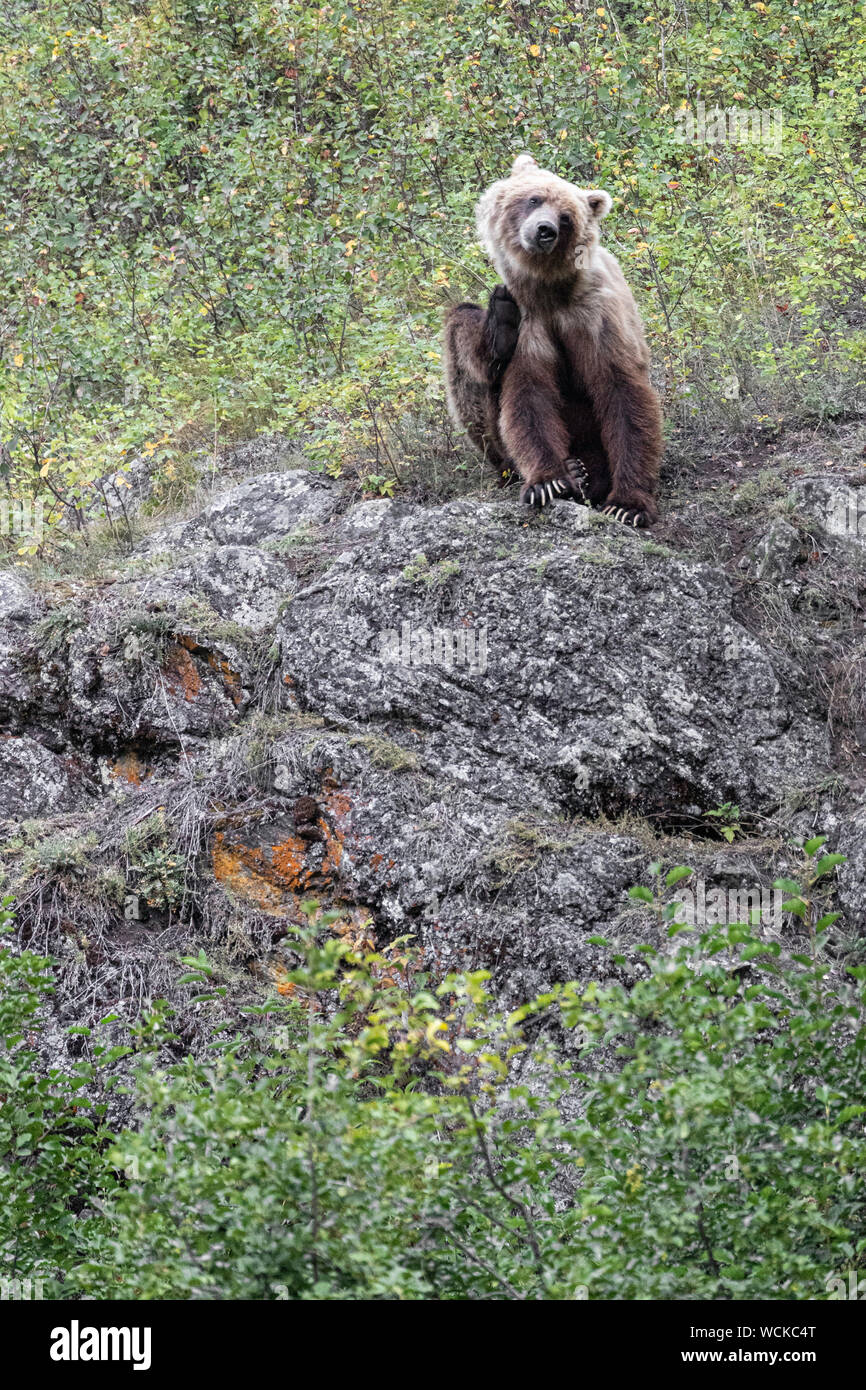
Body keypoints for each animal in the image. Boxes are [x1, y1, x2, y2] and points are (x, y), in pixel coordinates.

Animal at [443, 154, 663, 526]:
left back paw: (585, 474)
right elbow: (529, 396)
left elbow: (622, 391)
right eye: (534, 199)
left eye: (566, 216)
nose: (545, 230)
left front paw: (628, 503)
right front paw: (548, 482)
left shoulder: (597, 318)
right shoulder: (530, 323)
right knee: (463, 333)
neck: (550, 292)